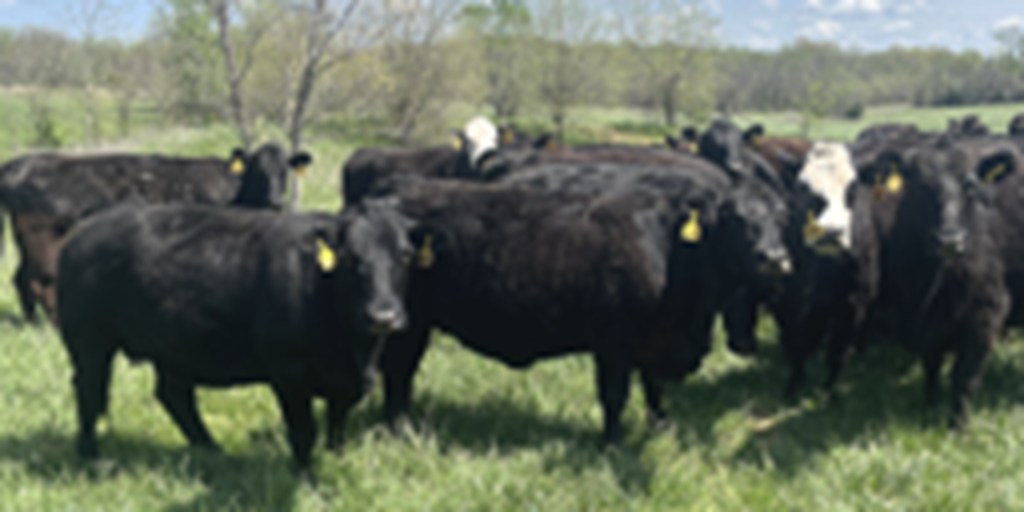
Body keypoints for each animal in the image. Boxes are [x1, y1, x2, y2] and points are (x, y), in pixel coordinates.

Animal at [1, 143, 309, 324]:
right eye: (257, 170)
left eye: (284, 171)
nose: (276, 201)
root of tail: (21, 163)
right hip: (44, 247)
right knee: (40, 283)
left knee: (20, 279)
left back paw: (32, 323)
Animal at [56, 199, 413, 473]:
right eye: (350, 257)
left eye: (405, 256)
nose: (383, 316)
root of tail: (86, 227)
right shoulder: (288, 374)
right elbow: (303, 431)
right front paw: (305, 477)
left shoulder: (347, 381)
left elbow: (337, 424)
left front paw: (337, 460)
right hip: (89, 342)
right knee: (89, 390)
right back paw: (90, 457)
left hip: (173, 348)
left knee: (174, 395)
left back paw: (213, 451)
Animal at [378, 163, 791, 445]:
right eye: (733, 217)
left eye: (781, 217)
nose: (773, 258)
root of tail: (402, 185)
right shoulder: (613, 344)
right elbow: (614, 396)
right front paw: (613, 444)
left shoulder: (656, 341)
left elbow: (654, 389)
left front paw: (660, 427)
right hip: (407, 323)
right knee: (398, 371)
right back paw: (398, 428)